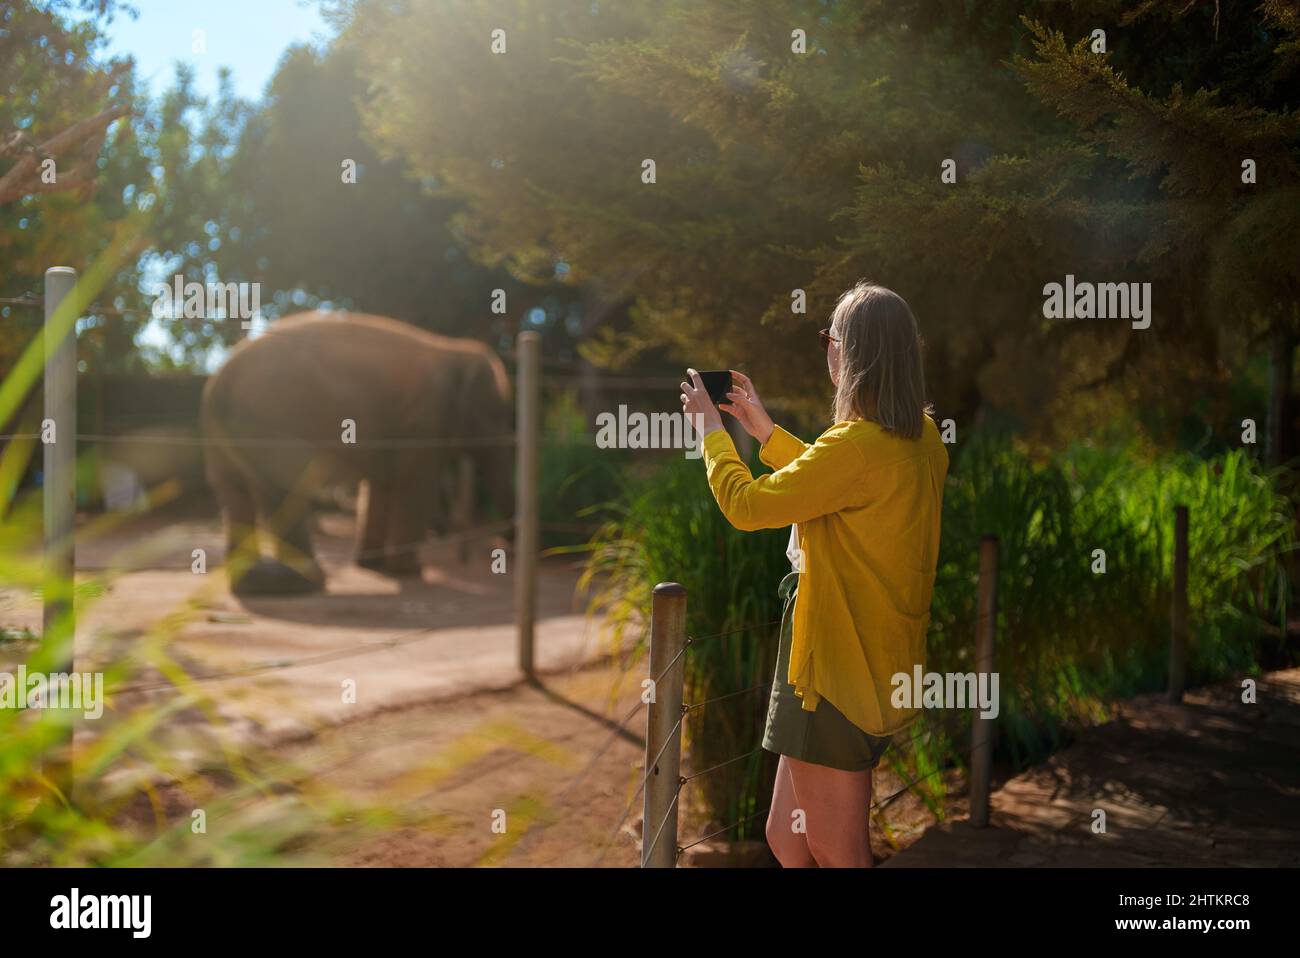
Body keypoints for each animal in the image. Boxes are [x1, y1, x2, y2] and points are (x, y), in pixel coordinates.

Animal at [200, 311, 514, 595]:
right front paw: (410, 571)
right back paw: (304, 583)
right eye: (498, 416)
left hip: (225, 439)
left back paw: (251, 583)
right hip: (270, 426)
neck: (452, 349)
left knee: (234, 491)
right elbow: (415, 486)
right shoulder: (422, 421)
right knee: (285, 488)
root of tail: (221, 381)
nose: (503, 548)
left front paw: (374, 566)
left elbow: (382, 486)